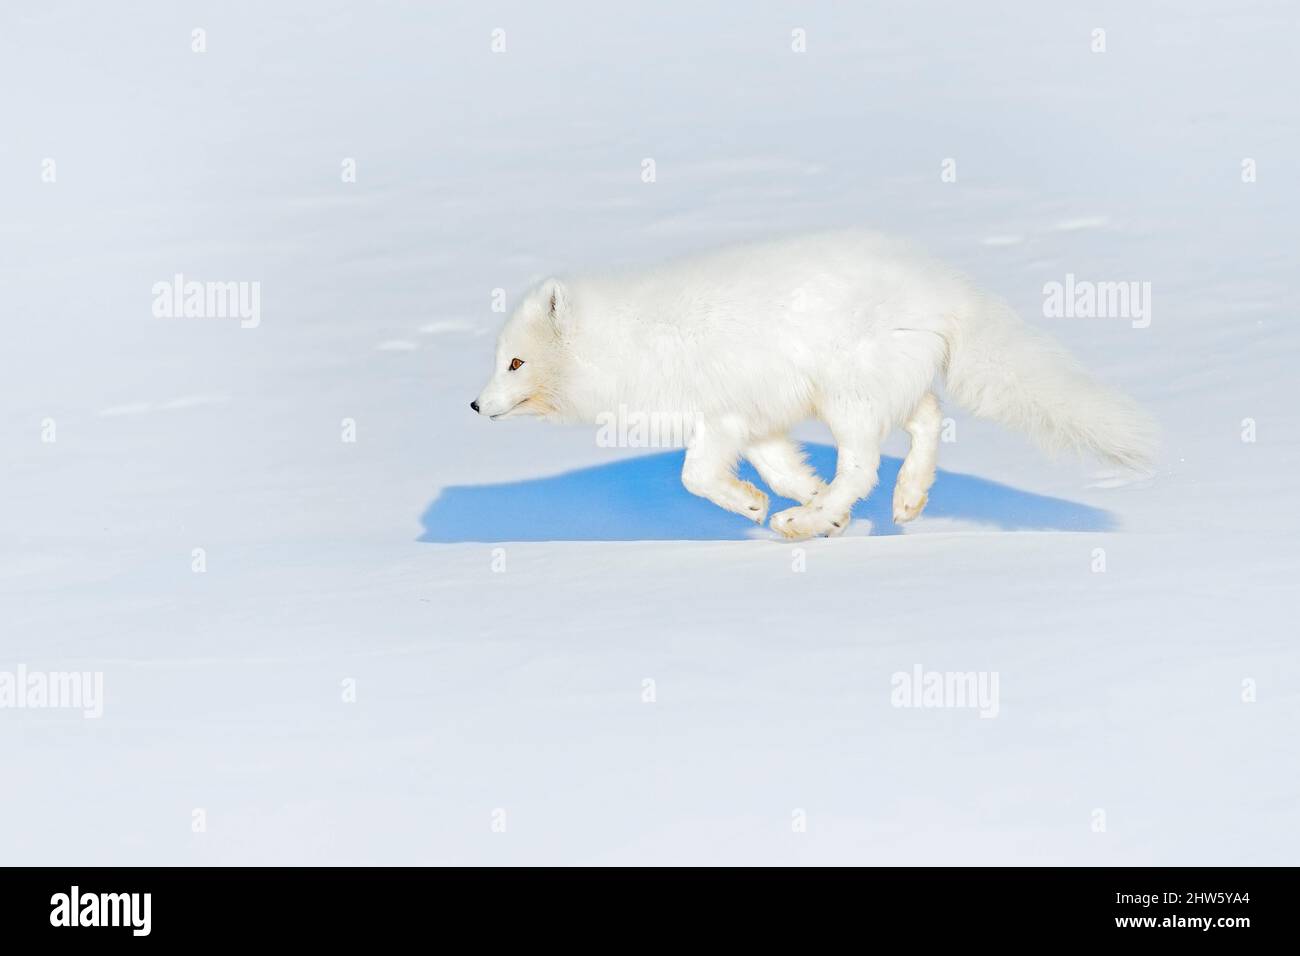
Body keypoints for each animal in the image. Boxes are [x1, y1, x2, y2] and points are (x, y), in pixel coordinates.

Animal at [470, 231, 1156, 539]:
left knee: (865, 464)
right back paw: (904, 500)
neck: (629, 343)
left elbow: (694, 476)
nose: (475, 404)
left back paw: (806, 522)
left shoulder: (719, 414)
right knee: (927, 420)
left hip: (847, 396)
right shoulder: (755, 422)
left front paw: (768, 508)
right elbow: (779, 469)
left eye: (515, 364)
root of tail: (943, 286)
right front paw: (801, 503)